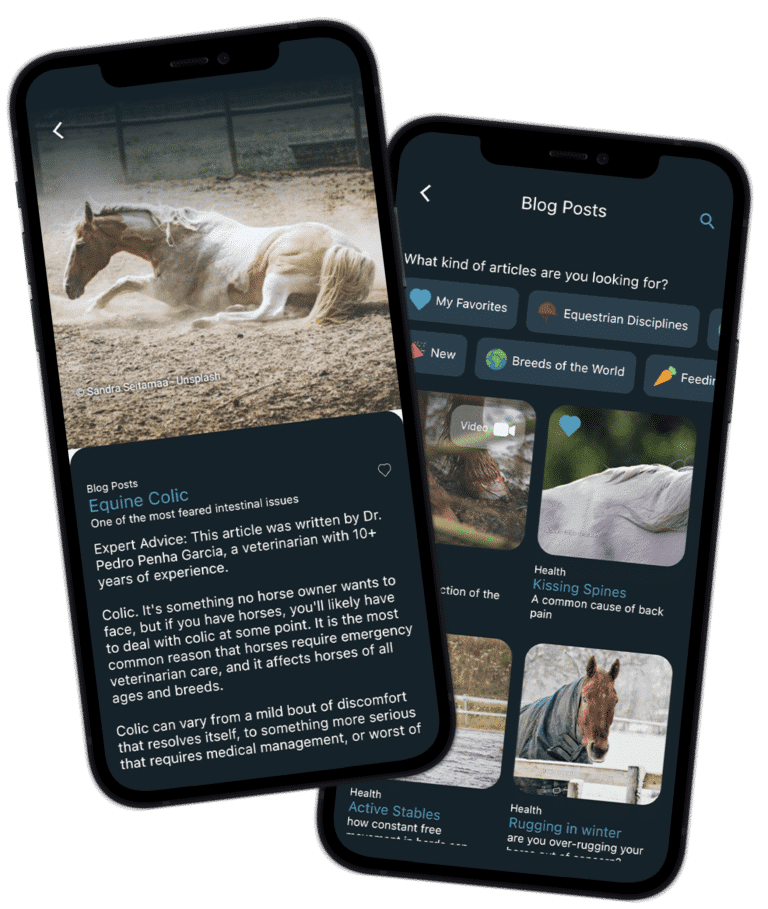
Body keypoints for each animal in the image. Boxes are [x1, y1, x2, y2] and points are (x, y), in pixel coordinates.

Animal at [63, 202, 375, 328]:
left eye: (80, 245)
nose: (68, 288)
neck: (174, 240)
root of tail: (347, 249)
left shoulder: (167, 293)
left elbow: (123, 281)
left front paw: (92, 310)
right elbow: (123, 282)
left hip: (278, 276)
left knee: (269, 312)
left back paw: (209, 320)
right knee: (282, 311)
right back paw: (234, 308)